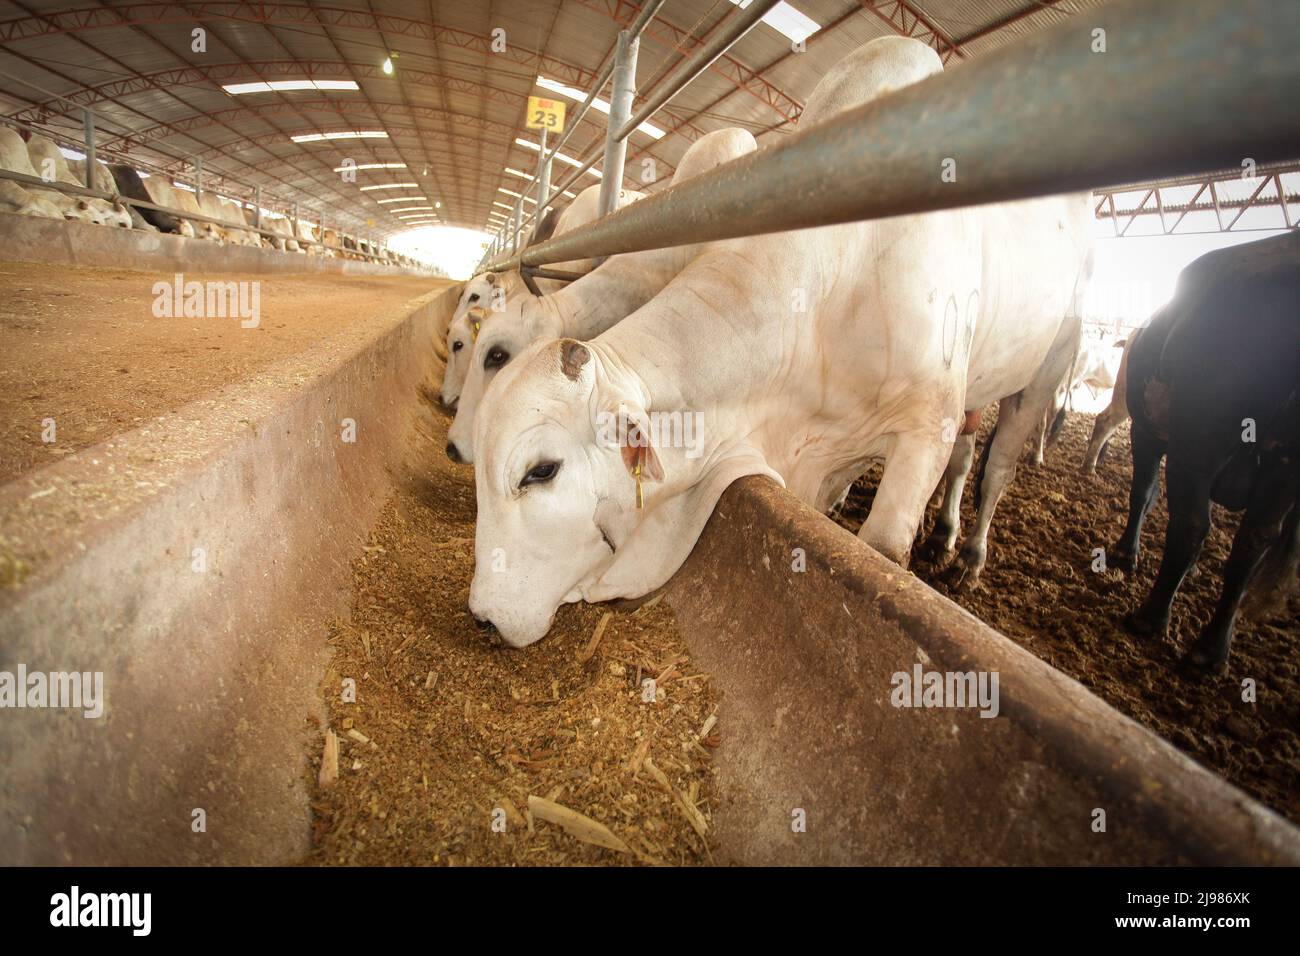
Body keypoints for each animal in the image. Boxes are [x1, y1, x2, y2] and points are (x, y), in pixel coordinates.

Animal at [1110, 231, 1299, 672]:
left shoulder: (1149, 432)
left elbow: (1143, 493)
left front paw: (1127, 553)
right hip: (1281, 465)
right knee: (1252, 541)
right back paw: (1211, 649)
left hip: (1197, 444)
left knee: (1193, 523)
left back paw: (1151, 617)